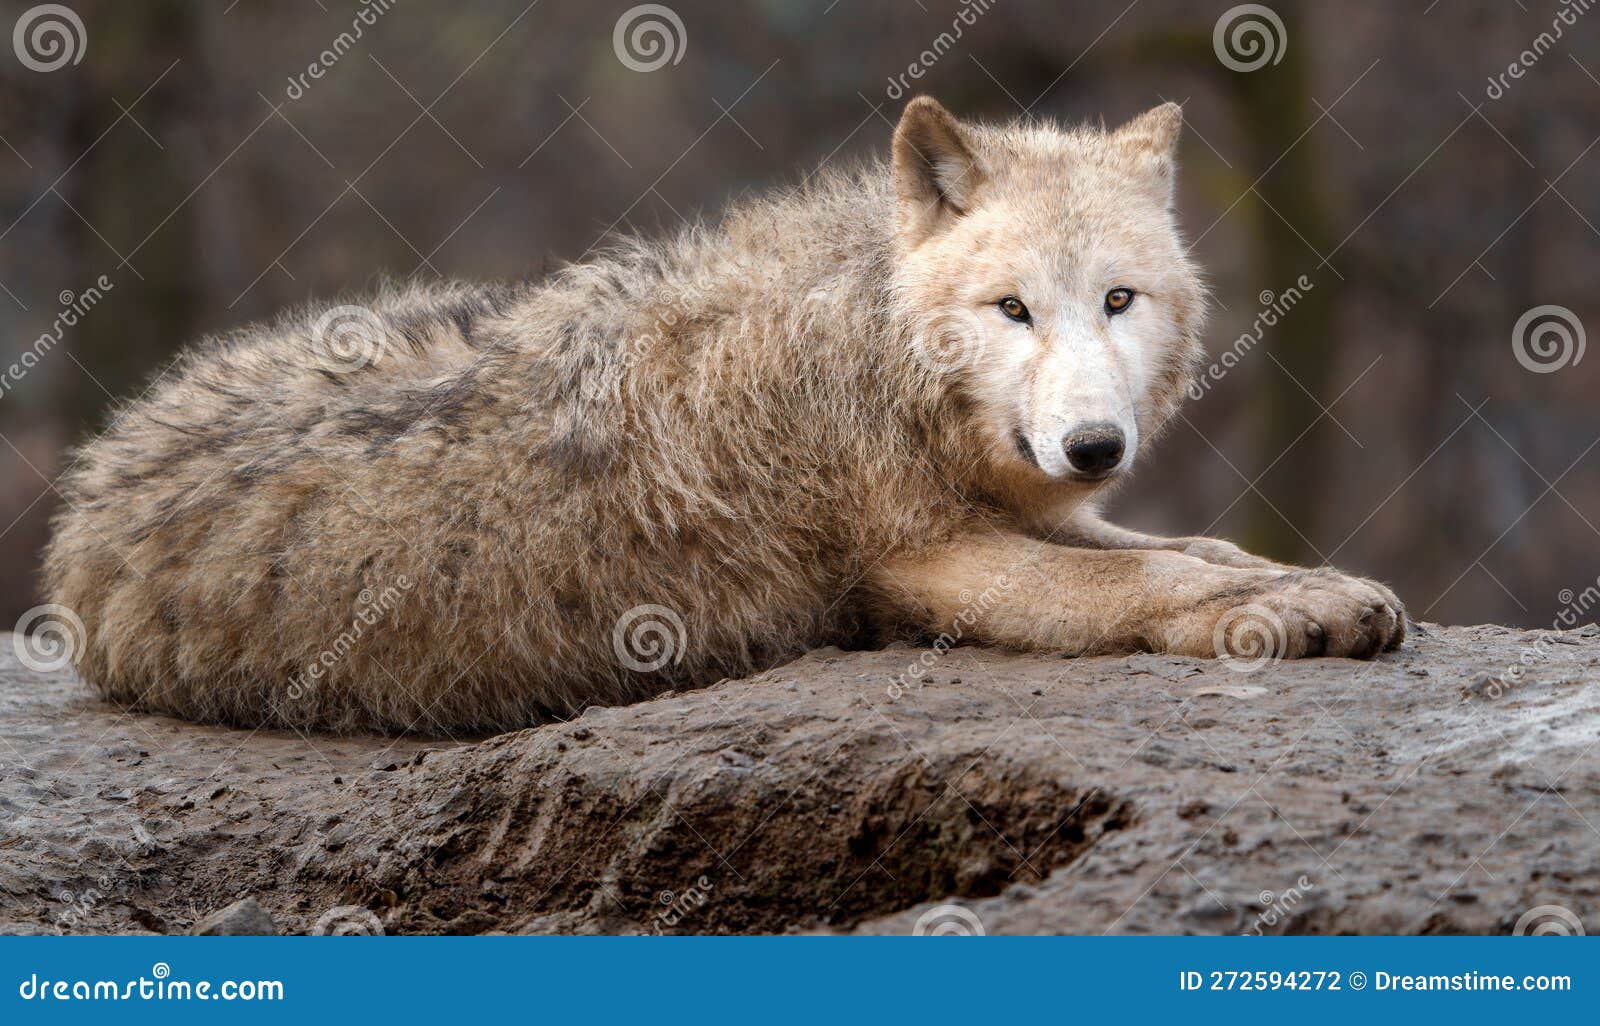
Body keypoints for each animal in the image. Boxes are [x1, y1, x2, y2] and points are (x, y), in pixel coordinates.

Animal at [42, 97, 1404, 734]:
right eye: (1012, 309)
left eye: (1119, 301)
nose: (1094, 448)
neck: (868, 347)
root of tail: (94, 473)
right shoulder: (924, 563)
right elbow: (1141, 582)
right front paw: (1288, 610)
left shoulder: (1024, 512)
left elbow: (1194, 547)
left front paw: (1302, 581)